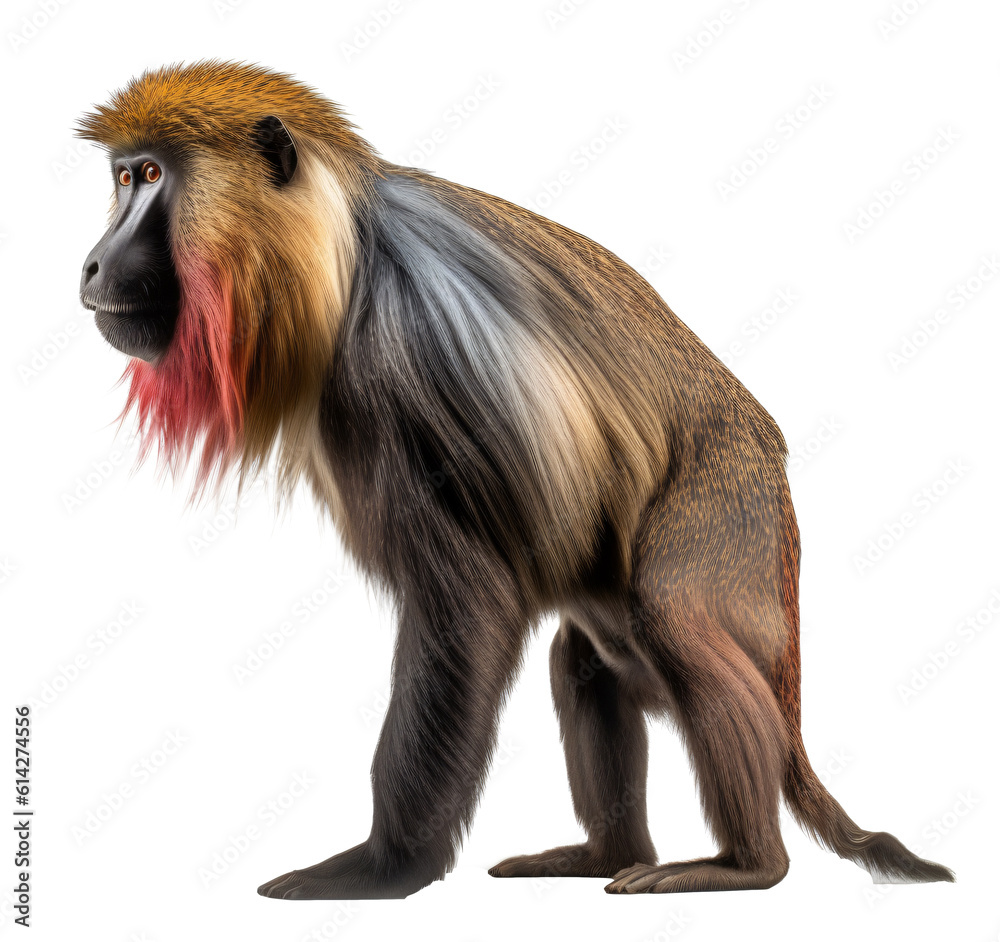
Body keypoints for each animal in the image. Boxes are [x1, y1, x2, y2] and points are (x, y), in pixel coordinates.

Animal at [76, 61, 953, 898]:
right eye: (123, 177)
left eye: (149, 176)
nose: (91, 261)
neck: (343, 251)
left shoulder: (405, 358)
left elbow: (469, 607)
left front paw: (383, 868)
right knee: (585, 660)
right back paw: (609, 853)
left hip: (730, 514)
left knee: (675, 623)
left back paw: (747, 866)